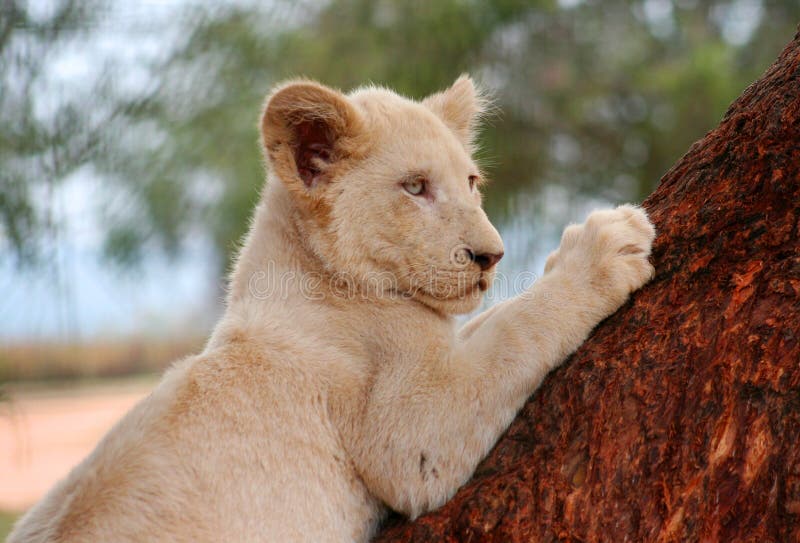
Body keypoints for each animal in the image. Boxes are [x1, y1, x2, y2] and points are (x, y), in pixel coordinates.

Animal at [8, 76, 655, 542]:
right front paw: (607, 244)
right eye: (415, 187)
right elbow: (516, 329)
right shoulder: (412, 436)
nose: (492, 256)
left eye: (472, 182)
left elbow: (494, 321)